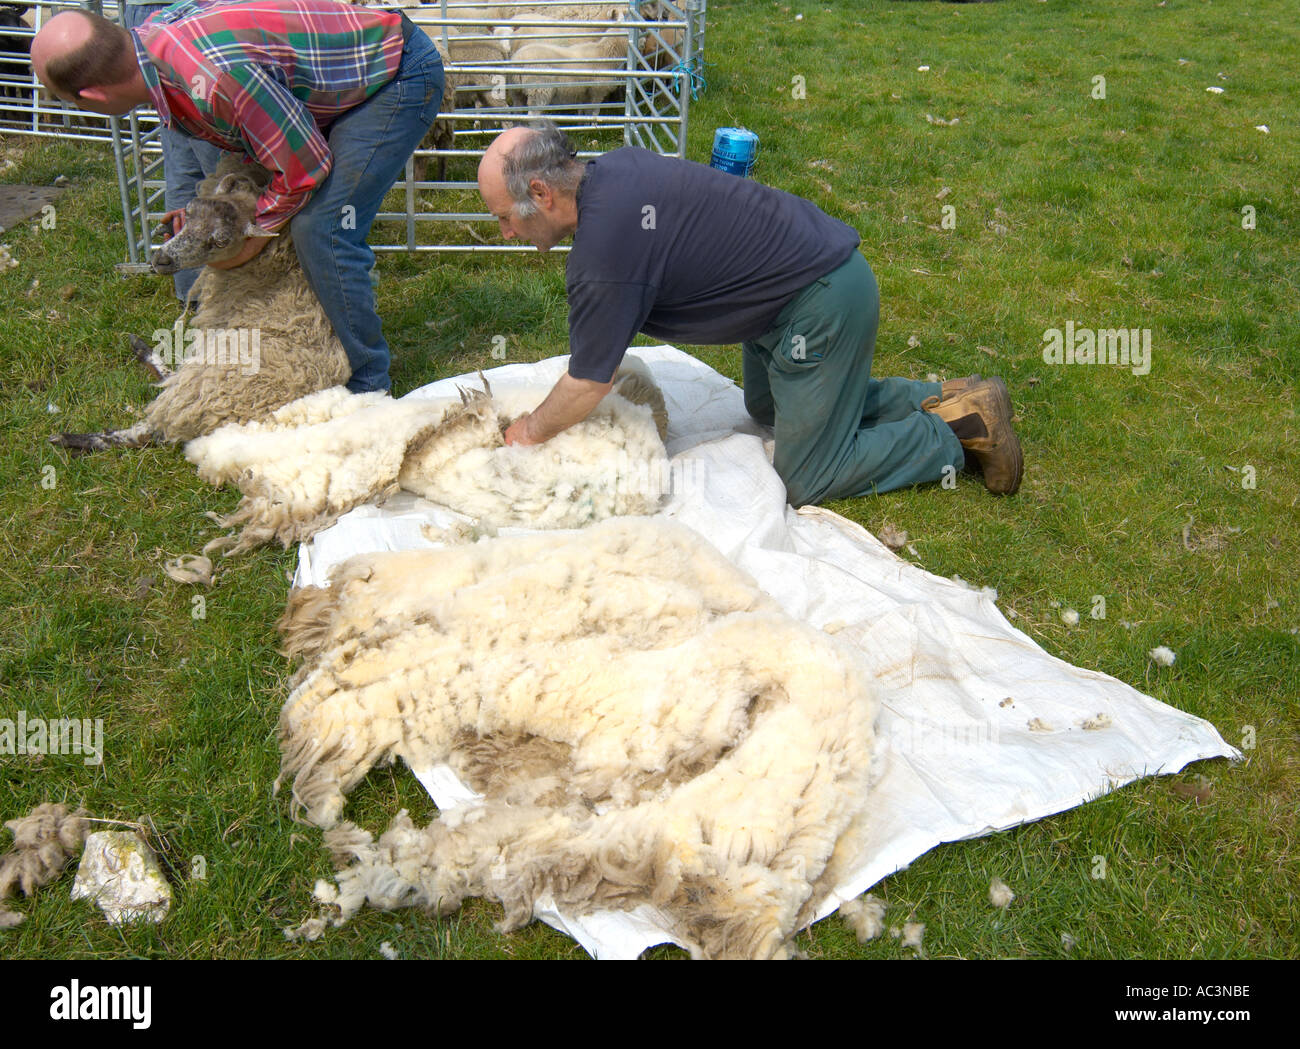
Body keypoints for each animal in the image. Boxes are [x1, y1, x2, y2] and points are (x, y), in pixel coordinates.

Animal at [50, 155, 350, 453]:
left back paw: (75, 438)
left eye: (220, 241)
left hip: (205, 388)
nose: (162, 259)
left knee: (150, 429)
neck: (273, 268)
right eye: (190, 213)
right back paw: (142, 350)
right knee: (169, 383)